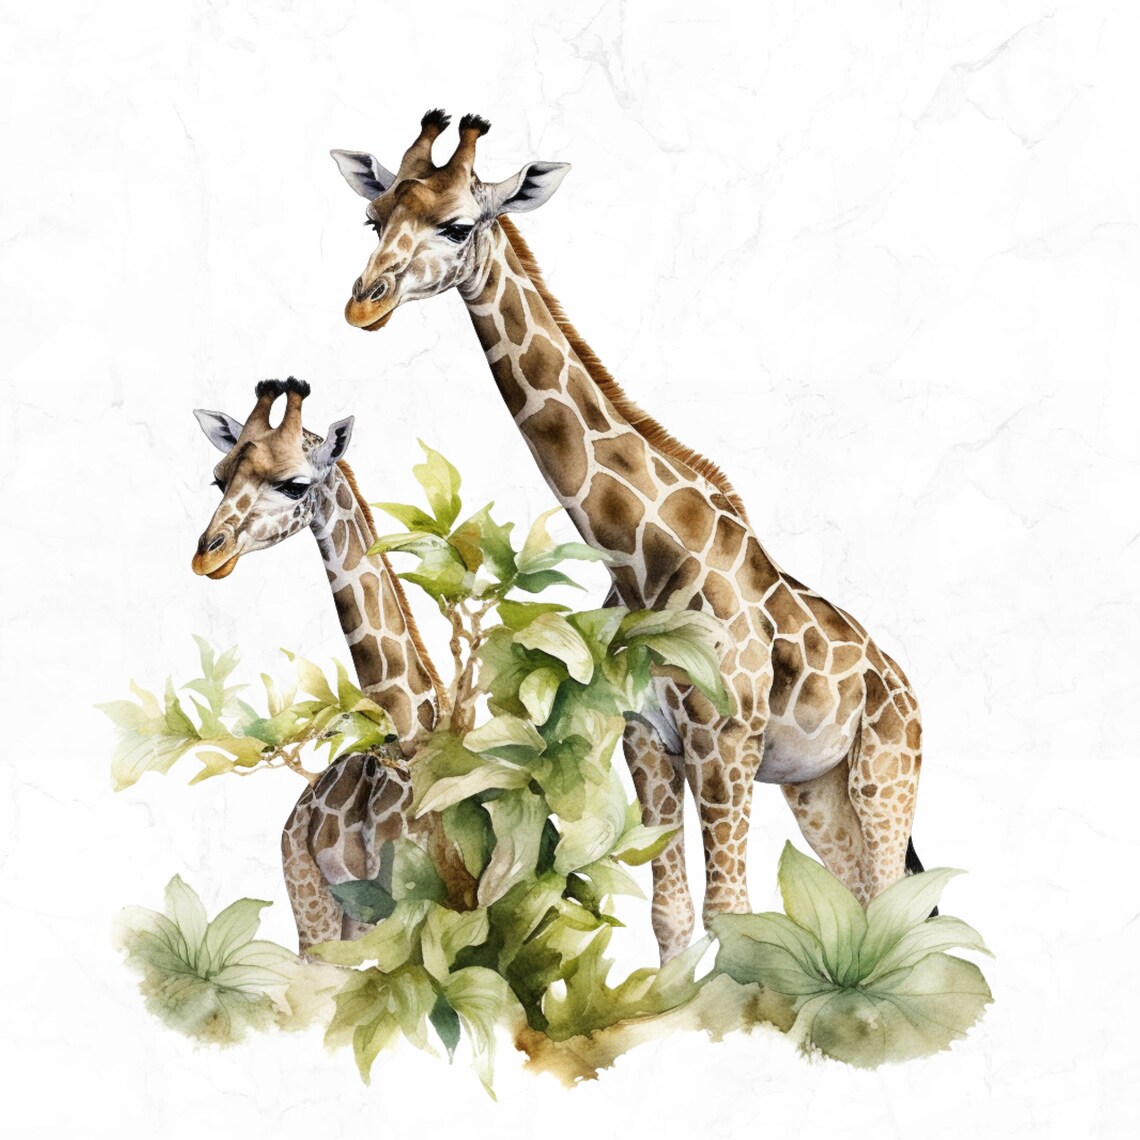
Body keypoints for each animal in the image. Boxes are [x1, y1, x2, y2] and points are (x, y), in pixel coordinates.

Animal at [328, 112, 930, 963]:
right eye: (374, 218)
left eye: (458, 224)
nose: (364, 303)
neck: (645, 554)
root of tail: (907, 689)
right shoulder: (647, 740)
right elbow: (671, 916)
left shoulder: (726, 740)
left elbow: (730, 915)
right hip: (817, 788)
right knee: (865, 898)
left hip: (883, 773)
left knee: (896, 904)